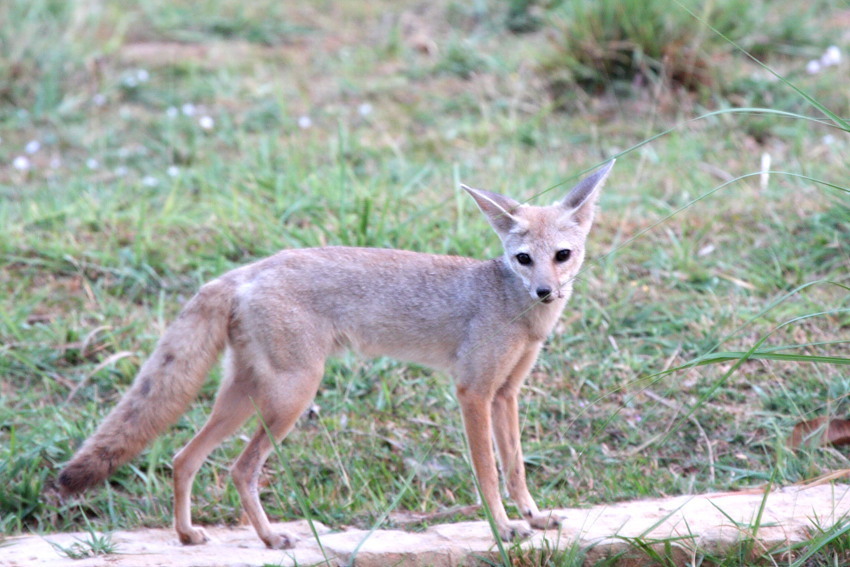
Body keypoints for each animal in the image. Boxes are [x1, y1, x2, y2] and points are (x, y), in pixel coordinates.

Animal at [57, 161, 614, 548]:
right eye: (523, 258)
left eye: (562, 256)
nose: (545, 291)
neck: (512, 307)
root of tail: (249, 269)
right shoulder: (473, 393)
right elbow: (488, 472)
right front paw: (504, 528)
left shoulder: (506, 394)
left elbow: (516, 468)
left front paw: (534, 516)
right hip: (292, 397)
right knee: (239, 469)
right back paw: (269, 538)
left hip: (245, 398)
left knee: (183, 458)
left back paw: (188, 535)